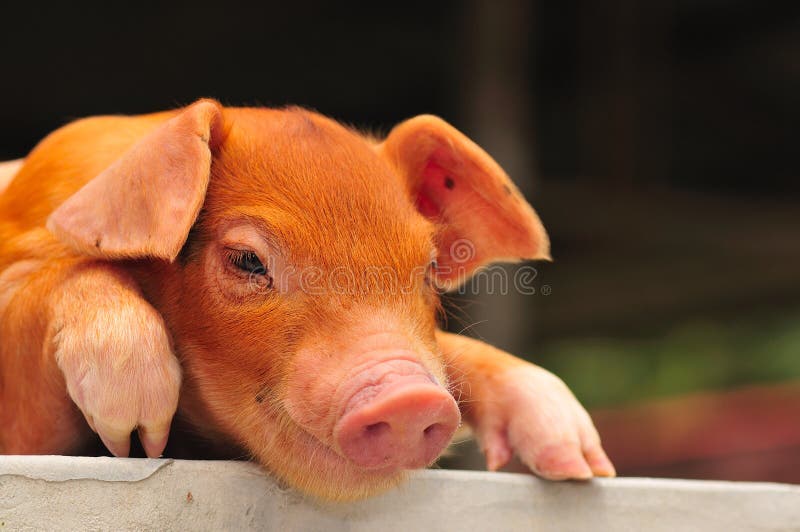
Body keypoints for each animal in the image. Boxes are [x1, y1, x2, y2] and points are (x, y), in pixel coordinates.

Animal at [0, 100, 614, 500]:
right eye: (247, 260)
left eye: (428, 269)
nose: (411, 399)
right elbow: (58, 282)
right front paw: (136, 435)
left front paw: (583, 463)